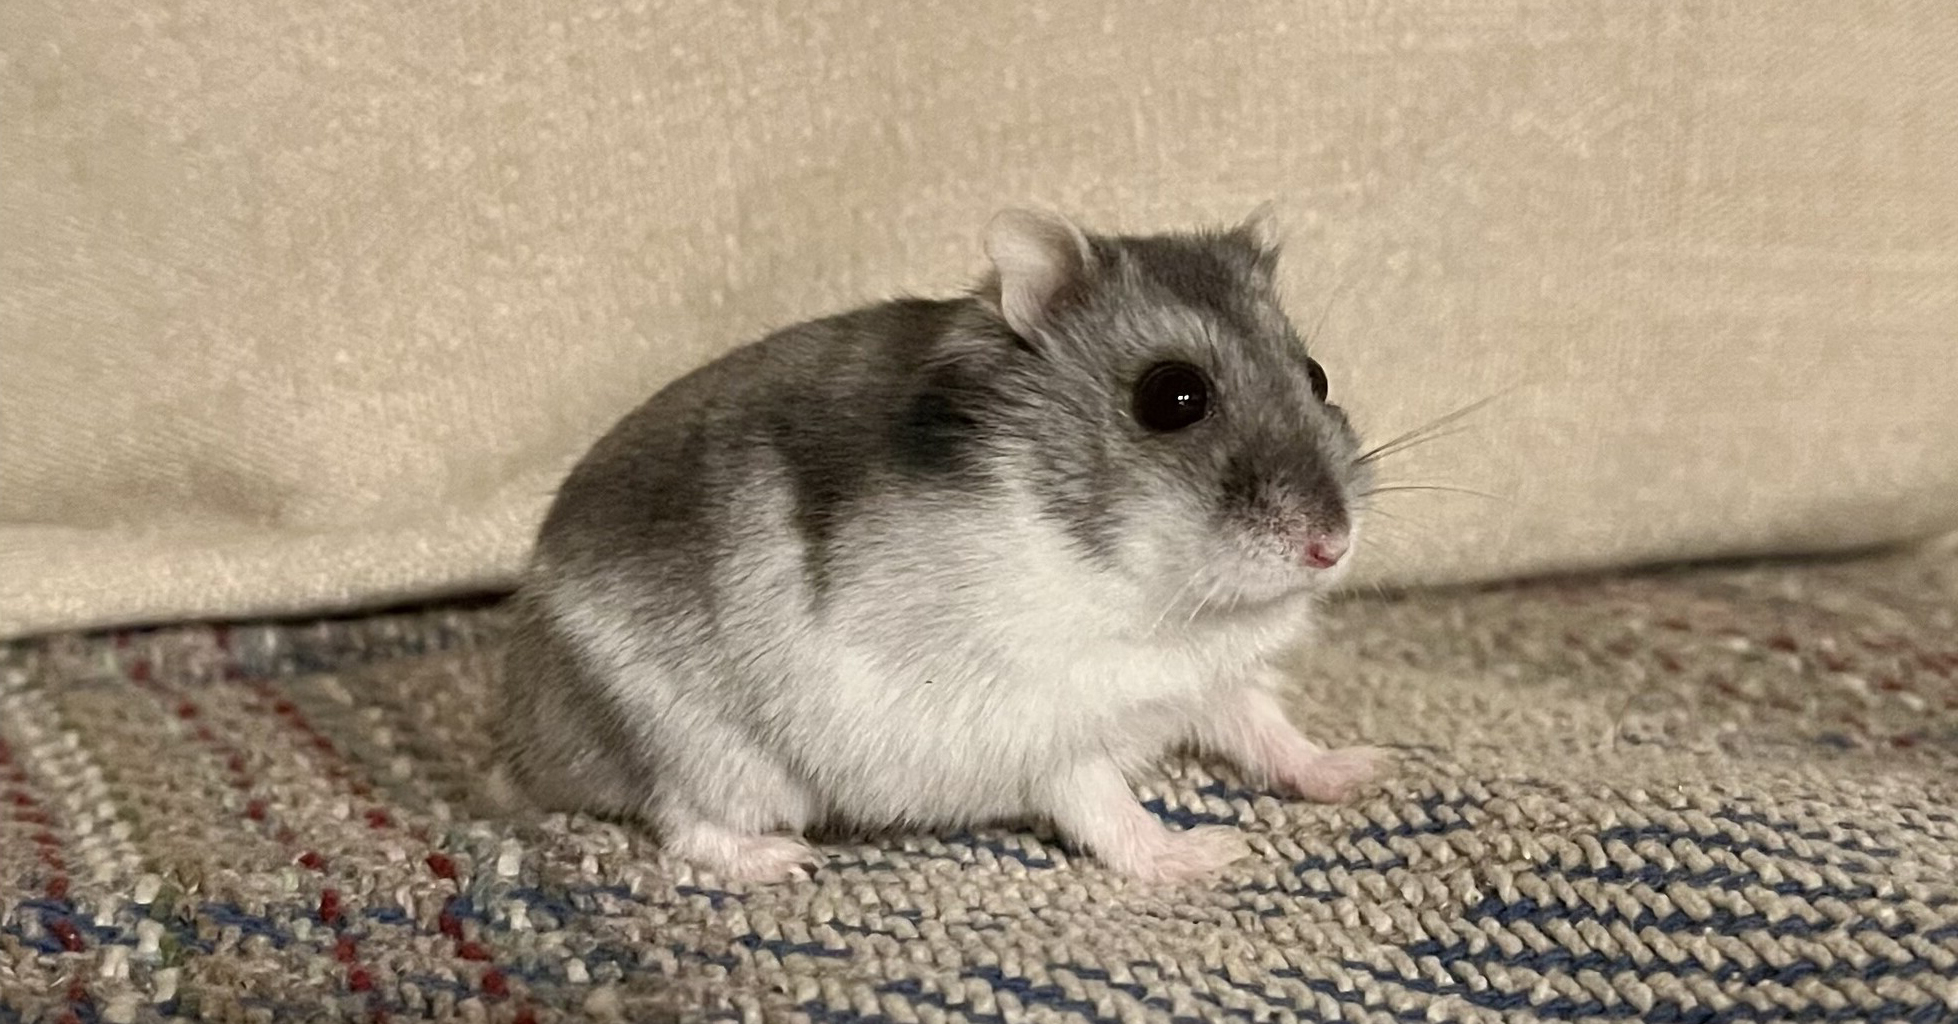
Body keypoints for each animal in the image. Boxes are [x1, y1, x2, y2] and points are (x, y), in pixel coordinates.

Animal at [493, 207, 1385, 884]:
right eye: (1173, 396)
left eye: (1318, 376)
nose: (1332, 545)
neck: (1153, 593)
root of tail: (529, 748)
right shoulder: (1041, 729)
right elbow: (1105, 805)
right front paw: (1206, 853)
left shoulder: (1217, 680)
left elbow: (1268, 728)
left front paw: (1363, 768)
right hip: (709, 753)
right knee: (683, 824)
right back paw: (785, 860)